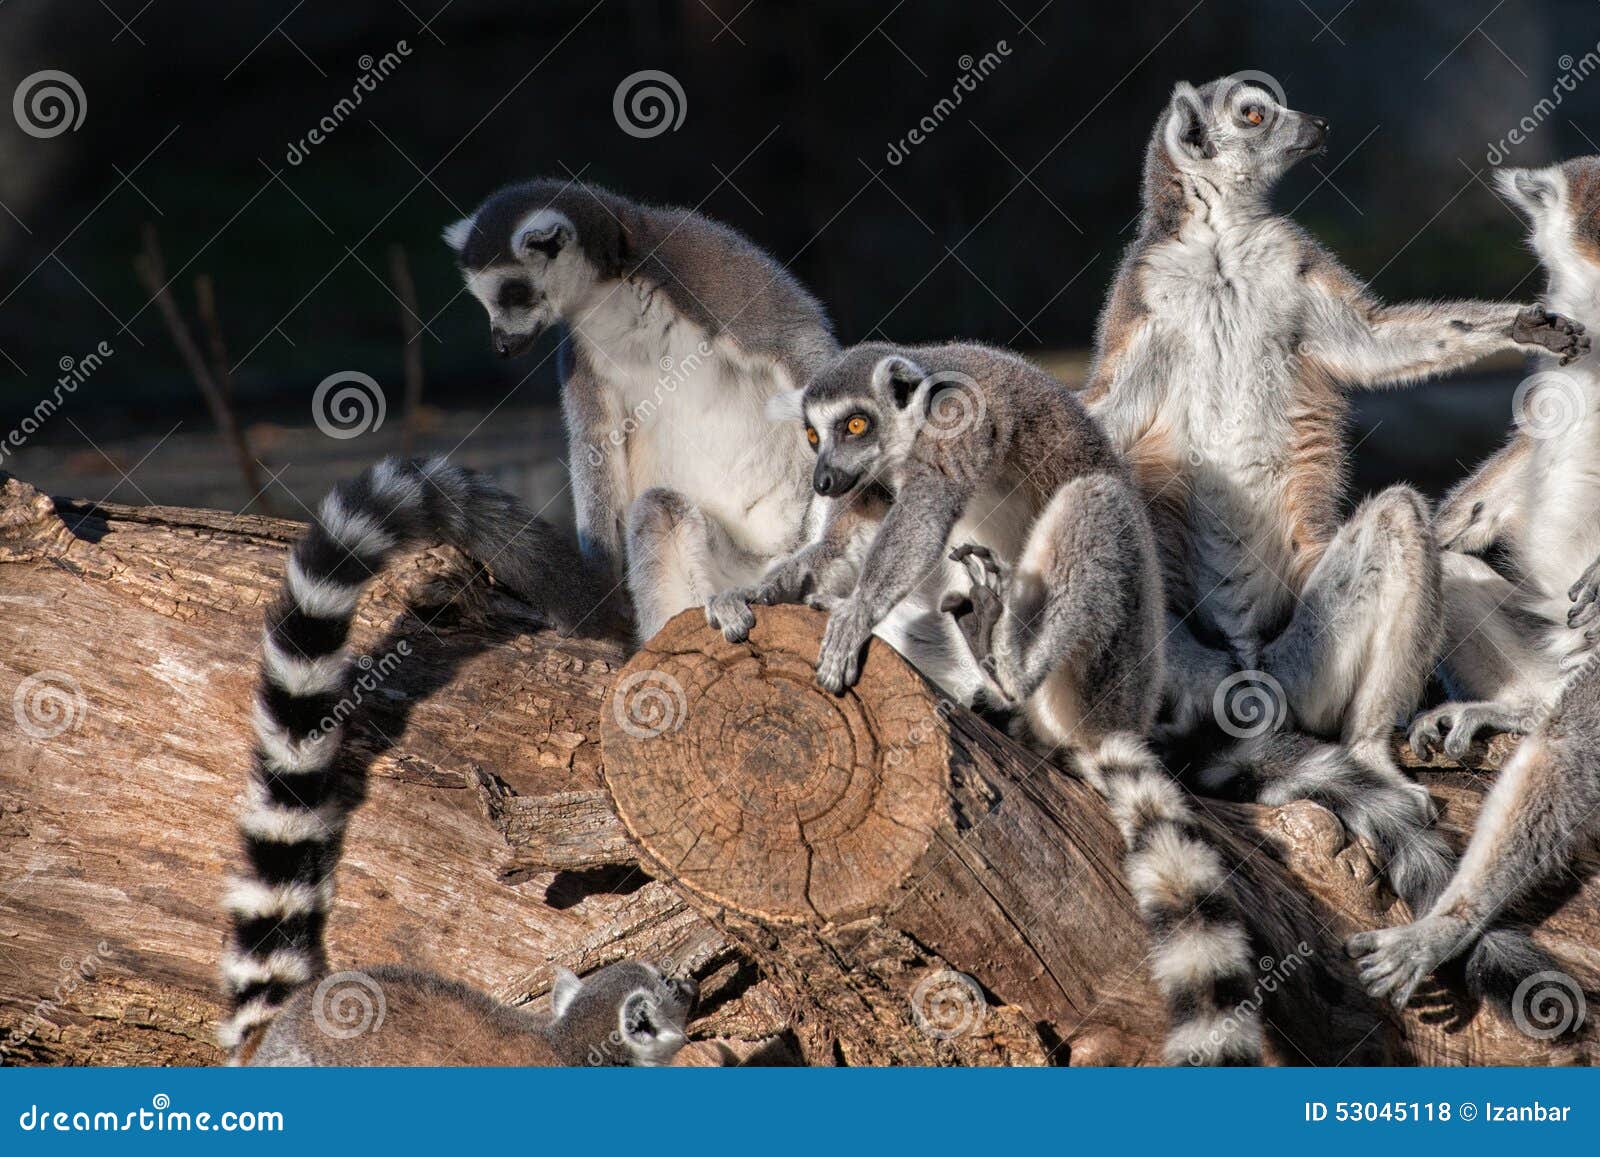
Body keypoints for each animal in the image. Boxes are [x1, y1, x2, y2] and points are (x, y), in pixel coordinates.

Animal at [445, 178, 838, 643]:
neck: (610, 295)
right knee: (659, 510)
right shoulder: (582, 355)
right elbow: (596, 444)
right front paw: (600, 585)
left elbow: (809, 359)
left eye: (513, 292)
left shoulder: (714, 273)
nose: (502, 345)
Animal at [708, 341, 1263, 1064]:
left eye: (854, 424)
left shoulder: (956, 424)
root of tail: (1114, 723)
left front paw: (855, 615)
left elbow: (921, 523)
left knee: (1094, 499)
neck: (904, 438)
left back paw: (1010, 665)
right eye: (811, 436)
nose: (824, 479)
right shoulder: (872, 486)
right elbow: (840, 543)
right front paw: (751, 594)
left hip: (1121, 658)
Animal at [1081, 76, 1587, 950]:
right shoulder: (1143, 294)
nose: (1315, 127)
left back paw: (1370, 750)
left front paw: (1525, 323)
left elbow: (1372, 344)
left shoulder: (1285, 263)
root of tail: (1243, 679)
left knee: (1398, 520)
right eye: (1256, 112)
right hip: (1183, 658)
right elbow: (1103, 420)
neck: (1221, 243)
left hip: (1305, 671)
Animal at [1349, 160, 1600, 1020]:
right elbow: (1501, 479)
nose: (1518, 178)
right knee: (1447, 559)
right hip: (1538, 645)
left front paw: (1447, 927)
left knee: (1567, 742)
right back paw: (1507, 709)